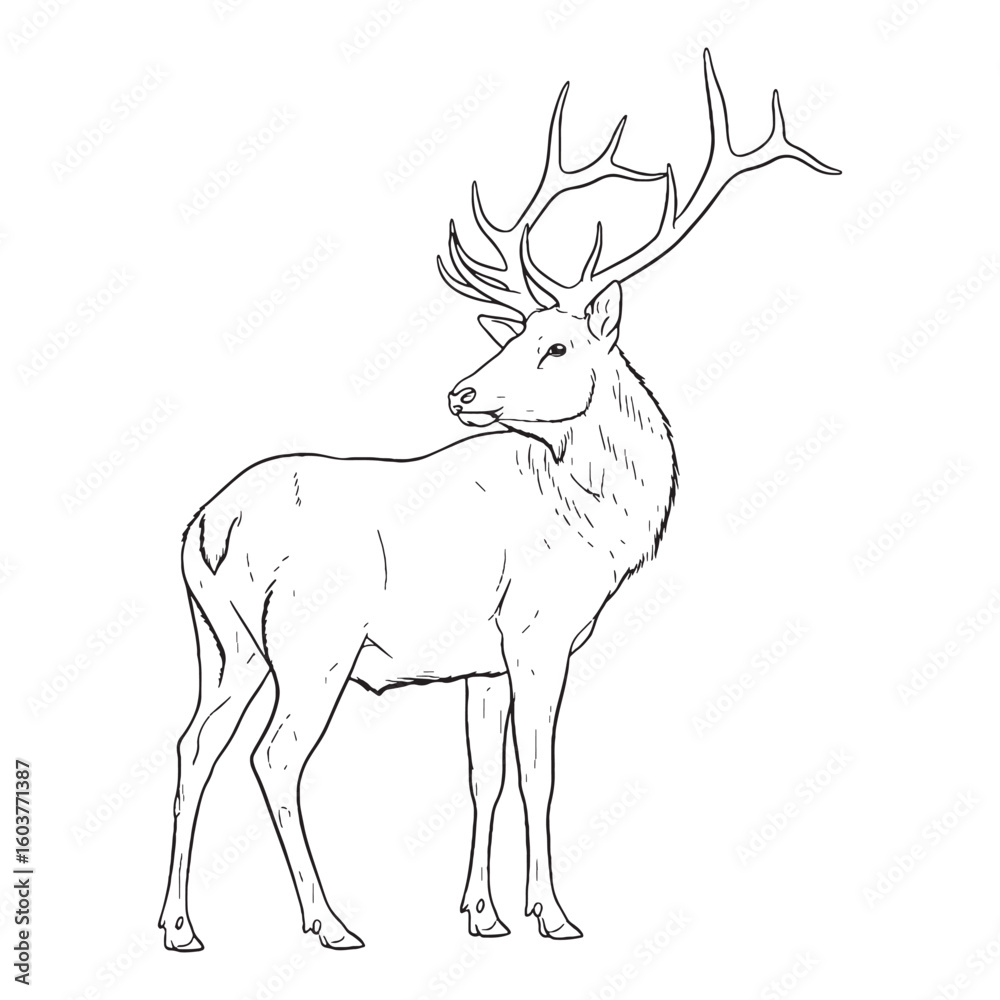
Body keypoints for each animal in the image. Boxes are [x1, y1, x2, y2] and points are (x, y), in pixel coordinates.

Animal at [159, 49, 838, 952]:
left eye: (553, 345)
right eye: (516, 337)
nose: (462, 392)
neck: (597, 531)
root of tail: (209, 523)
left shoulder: (480, 661)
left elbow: (483, 773)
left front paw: (482, 913)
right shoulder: (536, 633)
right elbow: (538, 772)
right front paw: (552, 914)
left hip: (225, 640)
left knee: (192, 746)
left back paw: (178, 924)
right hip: (313, 642)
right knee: (272, 757)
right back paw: (328, 921)